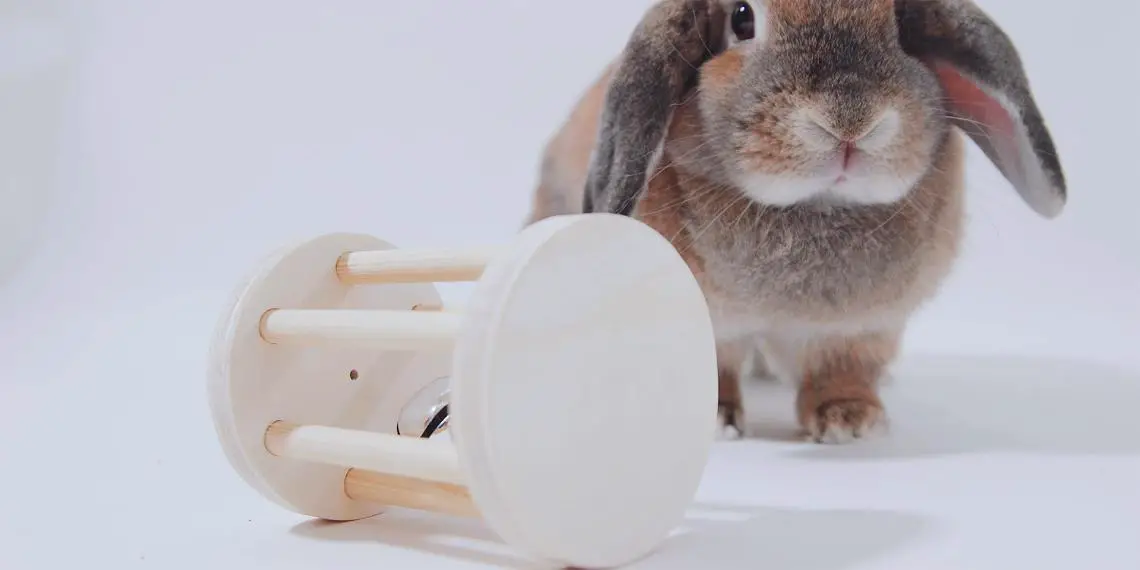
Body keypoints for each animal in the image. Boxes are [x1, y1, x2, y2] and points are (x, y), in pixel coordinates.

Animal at [525, 0, 1066, 443]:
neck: (814, 207)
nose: (849, 122)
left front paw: (851, 421)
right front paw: (717, 419)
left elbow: (839, 370)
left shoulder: (861, 328)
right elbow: (717, 367)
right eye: (742, 18)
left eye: (901, 23)